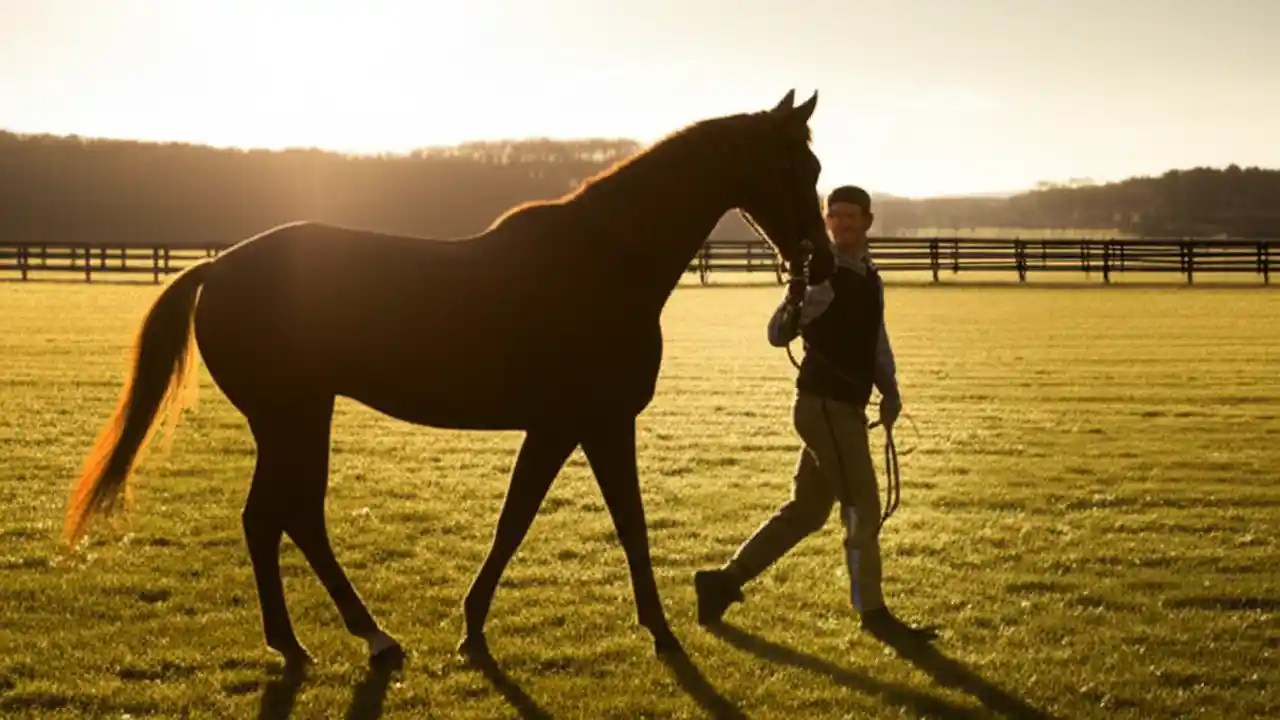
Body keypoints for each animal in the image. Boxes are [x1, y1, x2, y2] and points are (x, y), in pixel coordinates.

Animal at [63, 89, 835, 667]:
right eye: (799, 168)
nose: (823, 262)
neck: (605, 261)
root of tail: (217, 268)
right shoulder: (591, 423)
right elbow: (600, 524)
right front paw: (658, 632)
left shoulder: (566, 427)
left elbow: (528, 519)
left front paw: (476, 625)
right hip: (292, 417)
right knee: (279, 516)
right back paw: (346, 639)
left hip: (299, 416)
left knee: (286, 517)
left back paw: (331, 639)